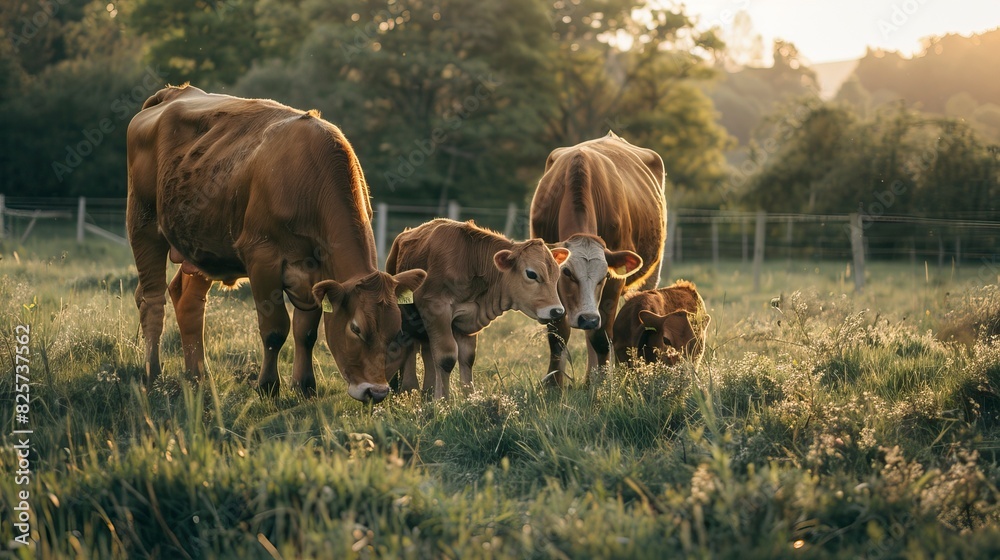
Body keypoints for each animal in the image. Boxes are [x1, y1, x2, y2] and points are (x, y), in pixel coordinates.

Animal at [126, 84, 425, 403]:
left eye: (396, 329)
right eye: (356, 328)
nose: (376, 391)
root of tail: (175, 93)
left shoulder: (316, 274)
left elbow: (306, 331)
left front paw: (305, 386)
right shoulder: (262, 259)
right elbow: (274, 329)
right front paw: (268, 386)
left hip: (201, 245)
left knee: (188, 301)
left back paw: (197, 376)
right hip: (143, 224)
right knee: (152, 302)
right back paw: (153, 374)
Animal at [385, 218, 570, 399]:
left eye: (557, 275)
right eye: (531, 274)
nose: (557, 311)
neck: (471, 262)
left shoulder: (467, 319)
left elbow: (467, 358)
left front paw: (469, 397)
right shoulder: (436, 310)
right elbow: (446, 357)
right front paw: (442, 401)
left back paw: (428, 391)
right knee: (410, 347)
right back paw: (410, 389)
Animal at [529, 131, 666, 386]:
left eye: (603, 276)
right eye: (566, 272)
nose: (588, 319)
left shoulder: (614, 281)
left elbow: (602, 338)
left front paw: (601, 384)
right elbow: (557, 336)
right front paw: (554, 385)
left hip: (651, 276)